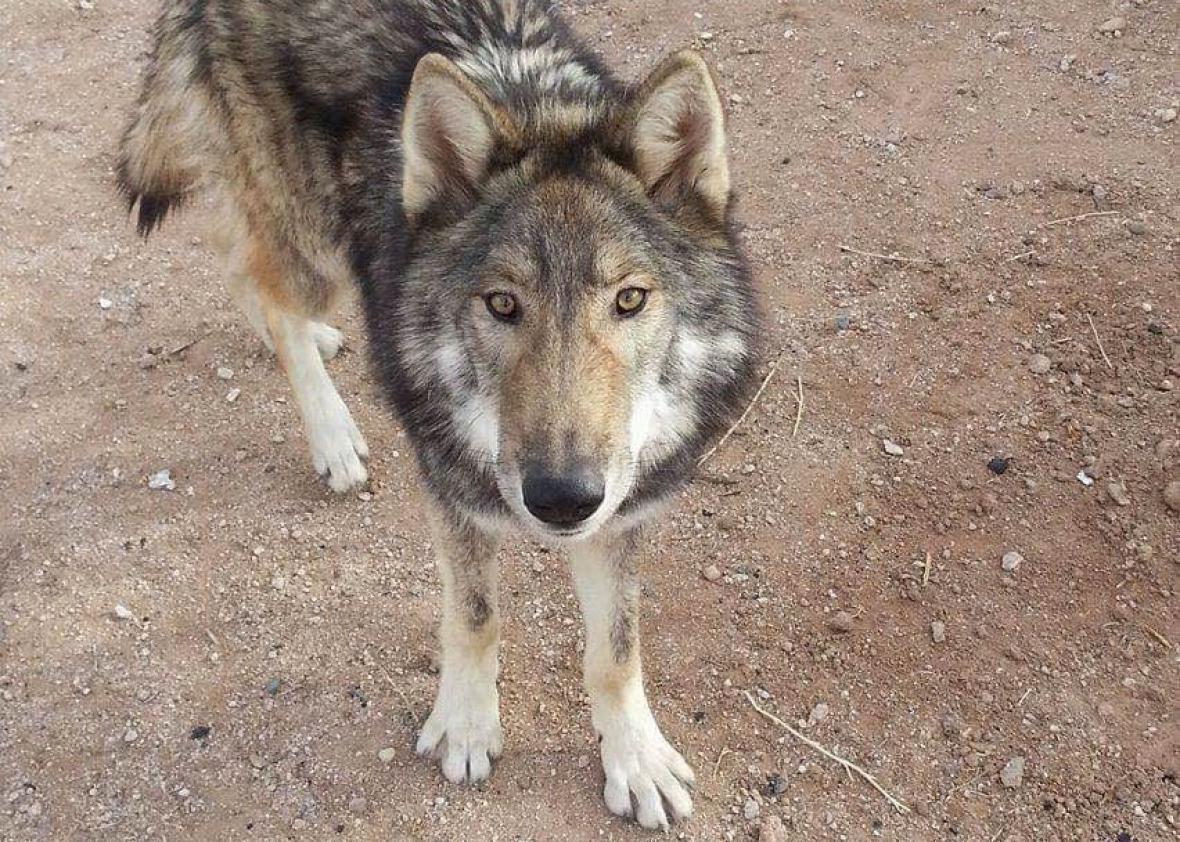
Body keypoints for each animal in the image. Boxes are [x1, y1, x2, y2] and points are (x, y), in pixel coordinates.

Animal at [118, 0, 758, 829]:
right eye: (502, 304)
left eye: (629, 300)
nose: (560, 500)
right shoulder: (453, 493)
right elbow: (476, 620)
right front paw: (466, 727)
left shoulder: (618, 512)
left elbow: (614, 652)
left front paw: (635, 759)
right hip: (312, 240)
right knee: (263, 278)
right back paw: (333, 434)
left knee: (241, 265)